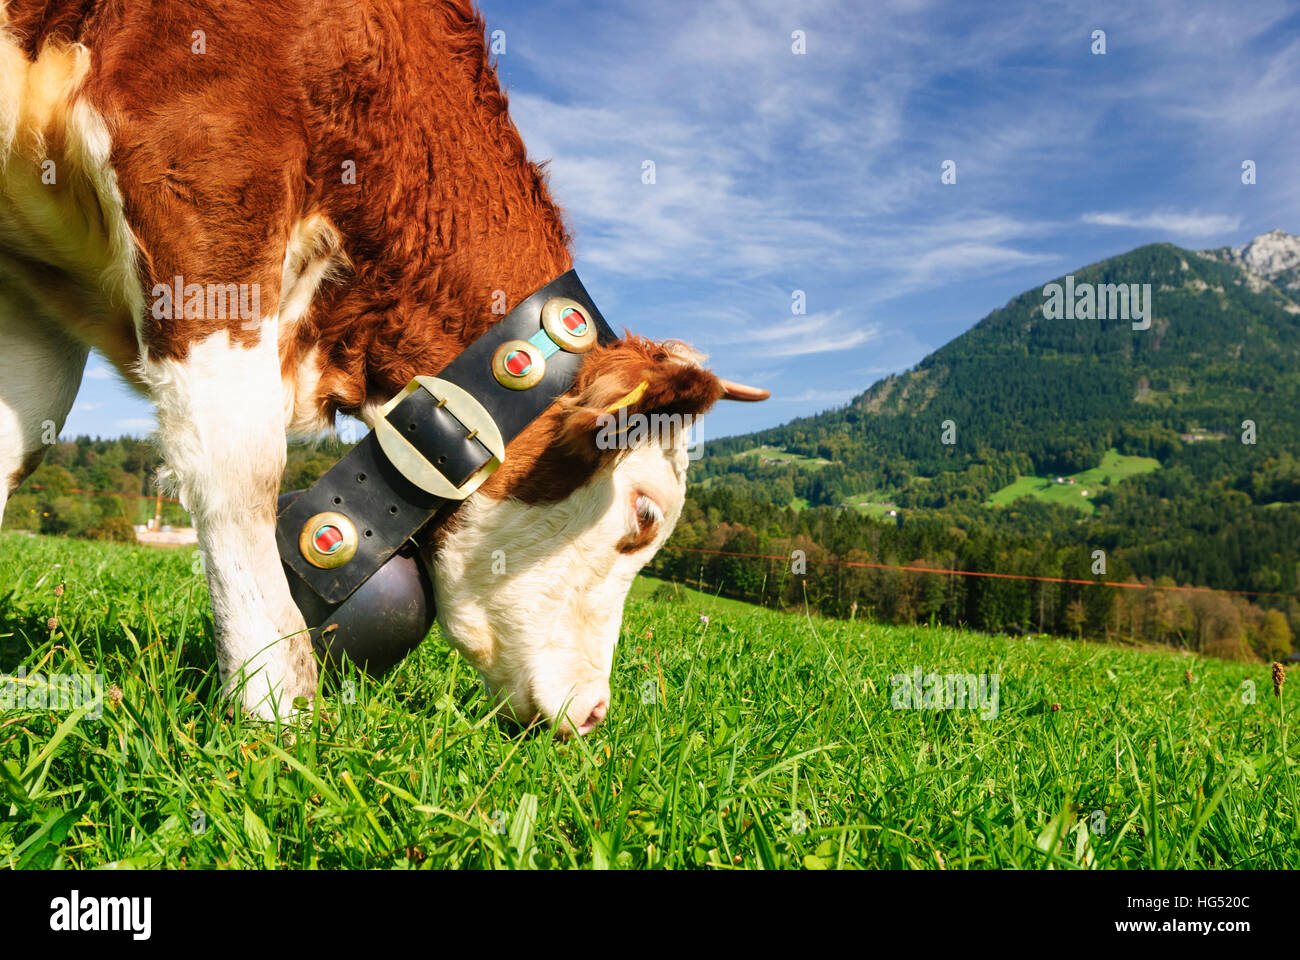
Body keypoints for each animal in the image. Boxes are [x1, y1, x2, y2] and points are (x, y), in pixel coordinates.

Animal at [0, 0, 766, 736]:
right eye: (644, 515)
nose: (595, 714)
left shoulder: (30, 286)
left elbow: (19, 442)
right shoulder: (206, 166)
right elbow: (240, 465)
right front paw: (275, 705)